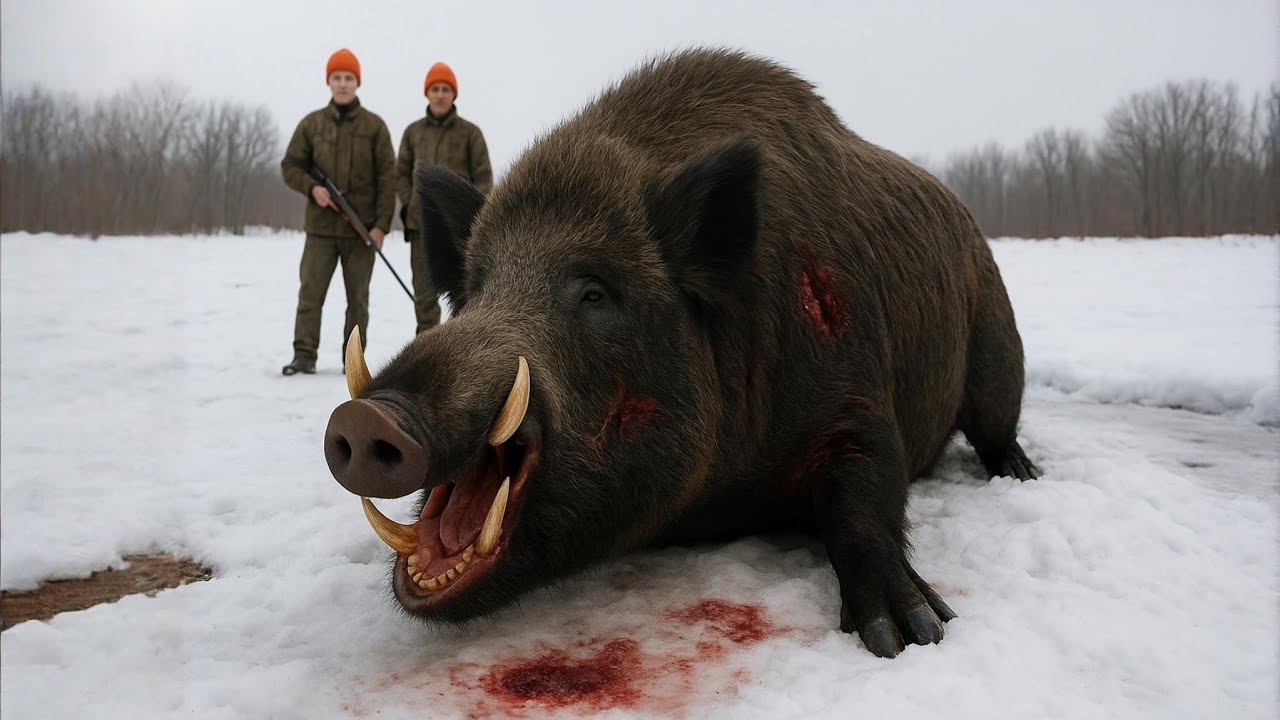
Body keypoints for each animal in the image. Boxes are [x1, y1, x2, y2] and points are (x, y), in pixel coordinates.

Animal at [323, 48, 1037, 658]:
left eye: (593, 292)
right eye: (475, 287)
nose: (369, 415)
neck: (721, 497)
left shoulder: (856, 393)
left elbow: (867, 491)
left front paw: (911, 634)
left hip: (999, 348)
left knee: (996, 425)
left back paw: (1021, 475)